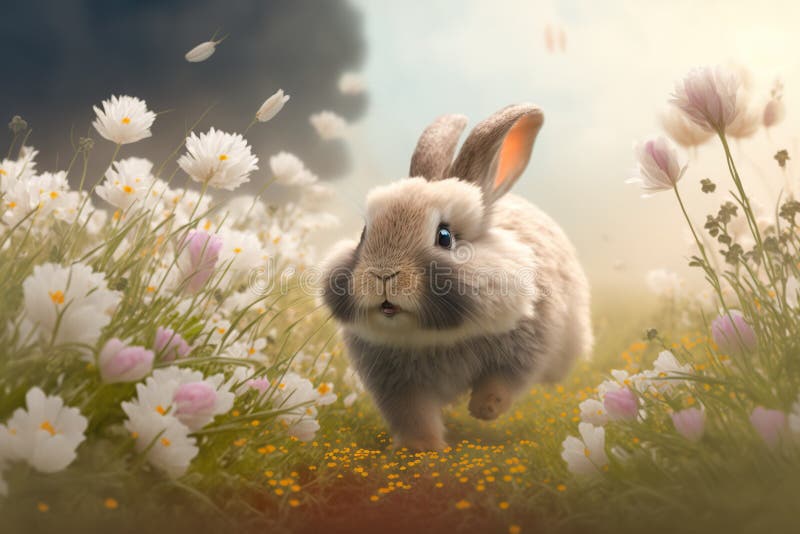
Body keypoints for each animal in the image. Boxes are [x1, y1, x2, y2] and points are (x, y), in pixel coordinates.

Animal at [321, 104, 593, 450]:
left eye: (445, 236)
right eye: (364, 234)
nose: (383, 274)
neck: (434, 336)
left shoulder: (529, 347)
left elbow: (504, 382)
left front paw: (483, 409)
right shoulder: (396, 386)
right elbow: (414, 416)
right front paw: (421, 449)